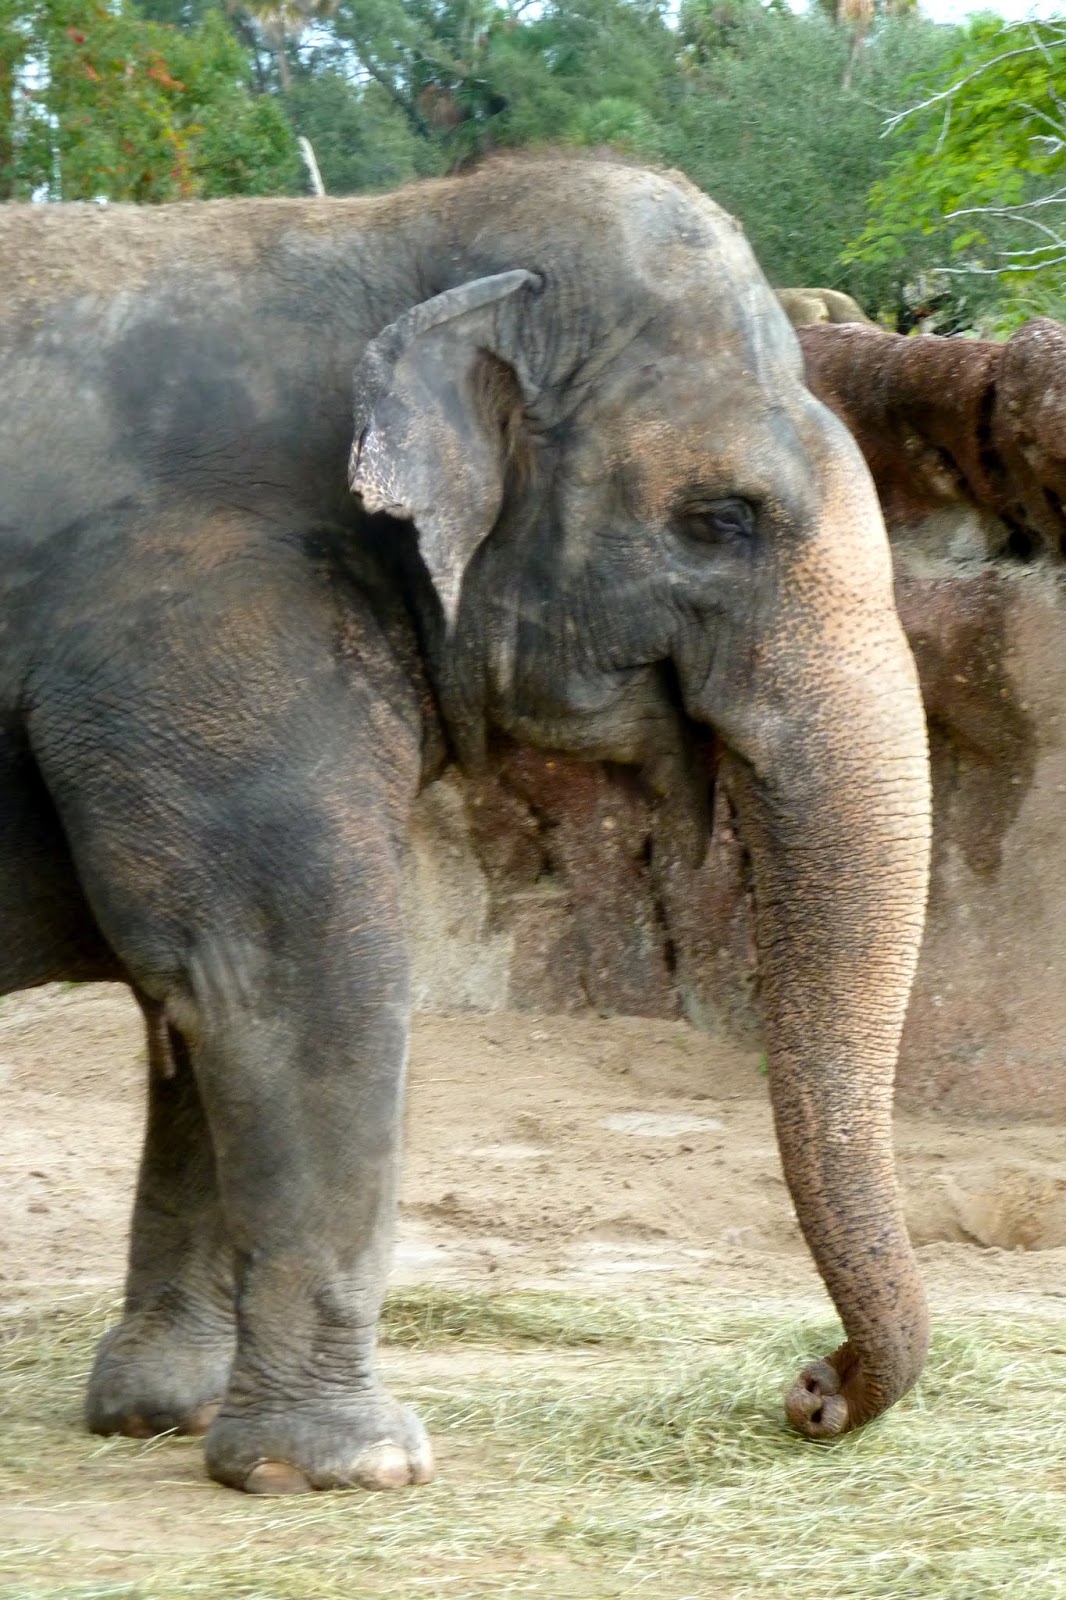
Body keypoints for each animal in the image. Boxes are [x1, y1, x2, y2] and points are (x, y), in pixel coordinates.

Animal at [0, 154, 932, 1494]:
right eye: (721, 519)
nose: (810, 1386)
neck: (403, 229)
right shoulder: (206, 619)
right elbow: (289, 968)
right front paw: (349, 1468)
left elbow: (192, 1000)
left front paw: (164, 1411)